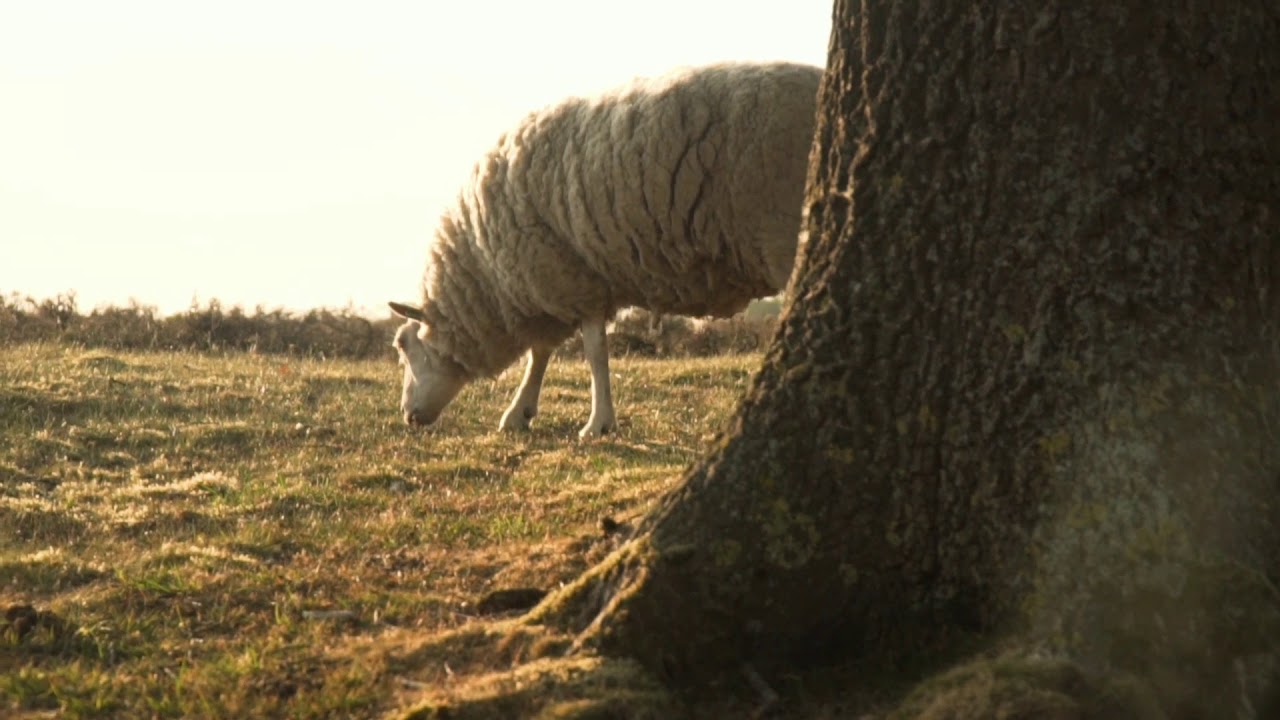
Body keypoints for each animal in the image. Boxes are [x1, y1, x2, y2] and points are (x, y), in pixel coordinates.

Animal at [389, 61, 821, 437]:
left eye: (402, 345)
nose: (407, 416)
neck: (487, 272)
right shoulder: (557, 283)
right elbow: (541, 352)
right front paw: (520, 411)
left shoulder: (576, 277)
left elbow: (594, 353)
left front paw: (598, 423)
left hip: (783, 234)